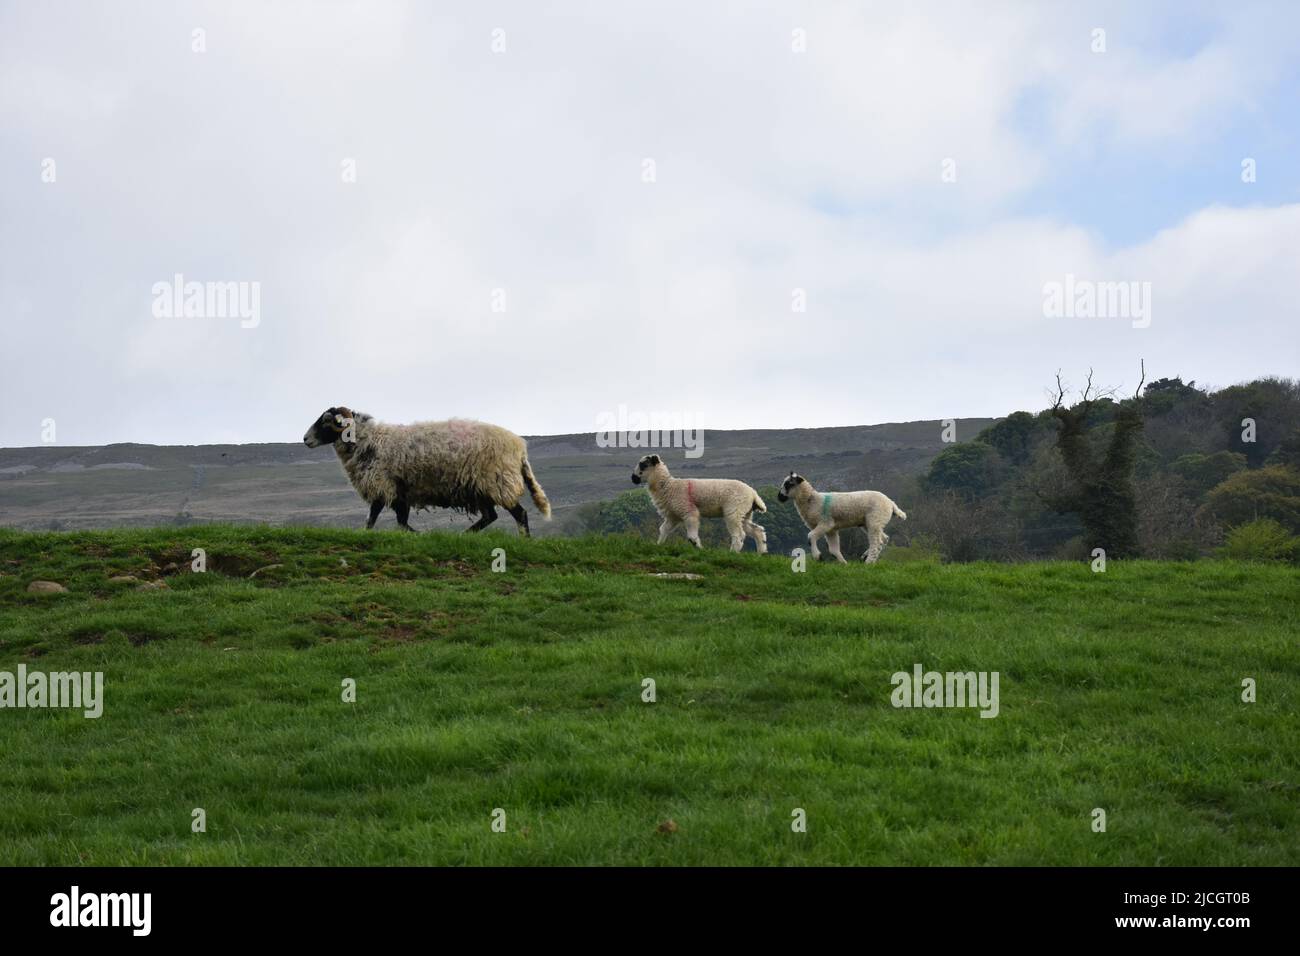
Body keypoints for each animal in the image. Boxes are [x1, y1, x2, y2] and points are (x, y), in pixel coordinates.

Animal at [302, 407, 551, 535]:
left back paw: (524, 540)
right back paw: (464, 536)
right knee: (490, 516)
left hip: (497, 482)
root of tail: (520, 447)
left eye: (327, 420)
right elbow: (399, 522)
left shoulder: (383, 484)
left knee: (520, 514)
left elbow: (373, 518)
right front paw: (416, 535)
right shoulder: (400, 492)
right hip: (480, 487)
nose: (305, 439)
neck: (368, 440)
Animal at [630, 454, 767, 552]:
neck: (668, 486)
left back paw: (732, 553)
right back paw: (761, 553)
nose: (633, 478)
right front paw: (659, 545)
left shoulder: (689, 511)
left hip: (734, 511)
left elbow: (691, 536)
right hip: (744, 514)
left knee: (739, 535)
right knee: (757, 531)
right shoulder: (673, 516)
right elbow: (664, 530)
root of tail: (753, 494)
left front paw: (700, 549)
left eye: (643, 465)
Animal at [776, 472, 906, 563]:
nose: (779, 497)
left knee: (877, 542)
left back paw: (868, 562)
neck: (811, 500)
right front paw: (844, 563)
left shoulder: (826, 523)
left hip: (875, 520)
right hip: (870, 523)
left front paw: (818, 556)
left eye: (788, 484)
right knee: (884, 539)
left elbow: (810, 536)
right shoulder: (831, 529)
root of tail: (891, 503)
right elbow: (833, 549)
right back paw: (864, 557)